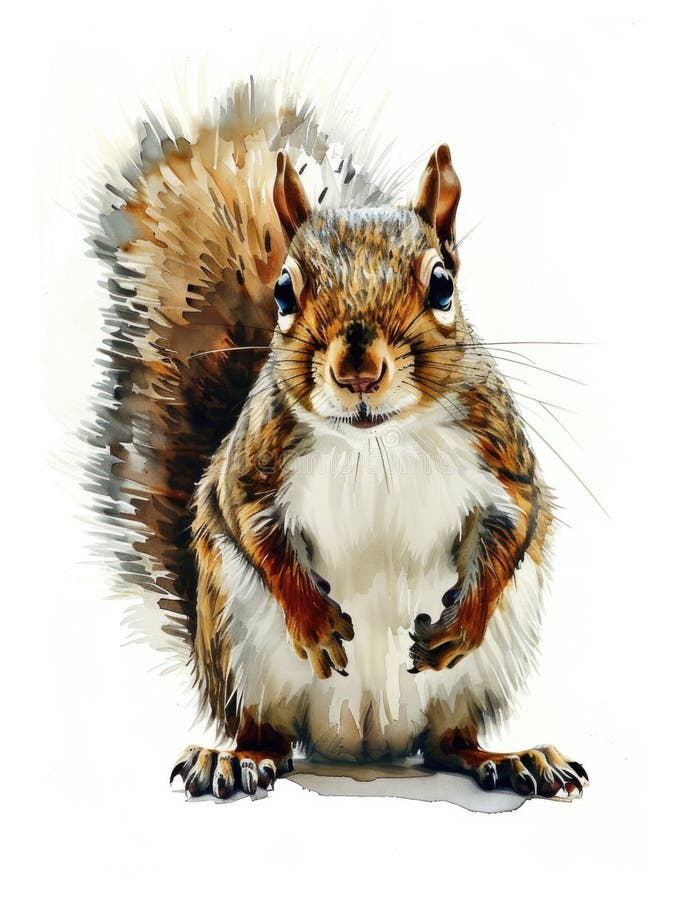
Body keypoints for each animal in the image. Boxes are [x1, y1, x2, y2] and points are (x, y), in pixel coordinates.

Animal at [87, 79, 588, 801]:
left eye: (443, 284)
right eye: (284, 292)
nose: (358, 369)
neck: (376, 442)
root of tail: (364, 743)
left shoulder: (501, 452)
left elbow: (516, 522)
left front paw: (460, 623)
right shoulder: (252, 462)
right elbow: (251, 524)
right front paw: (314, 620)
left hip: (477, 675)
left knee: (449, 742)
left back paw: (509, 758)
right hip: (242, 649)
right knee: (268, 733)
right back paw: (232, 759)